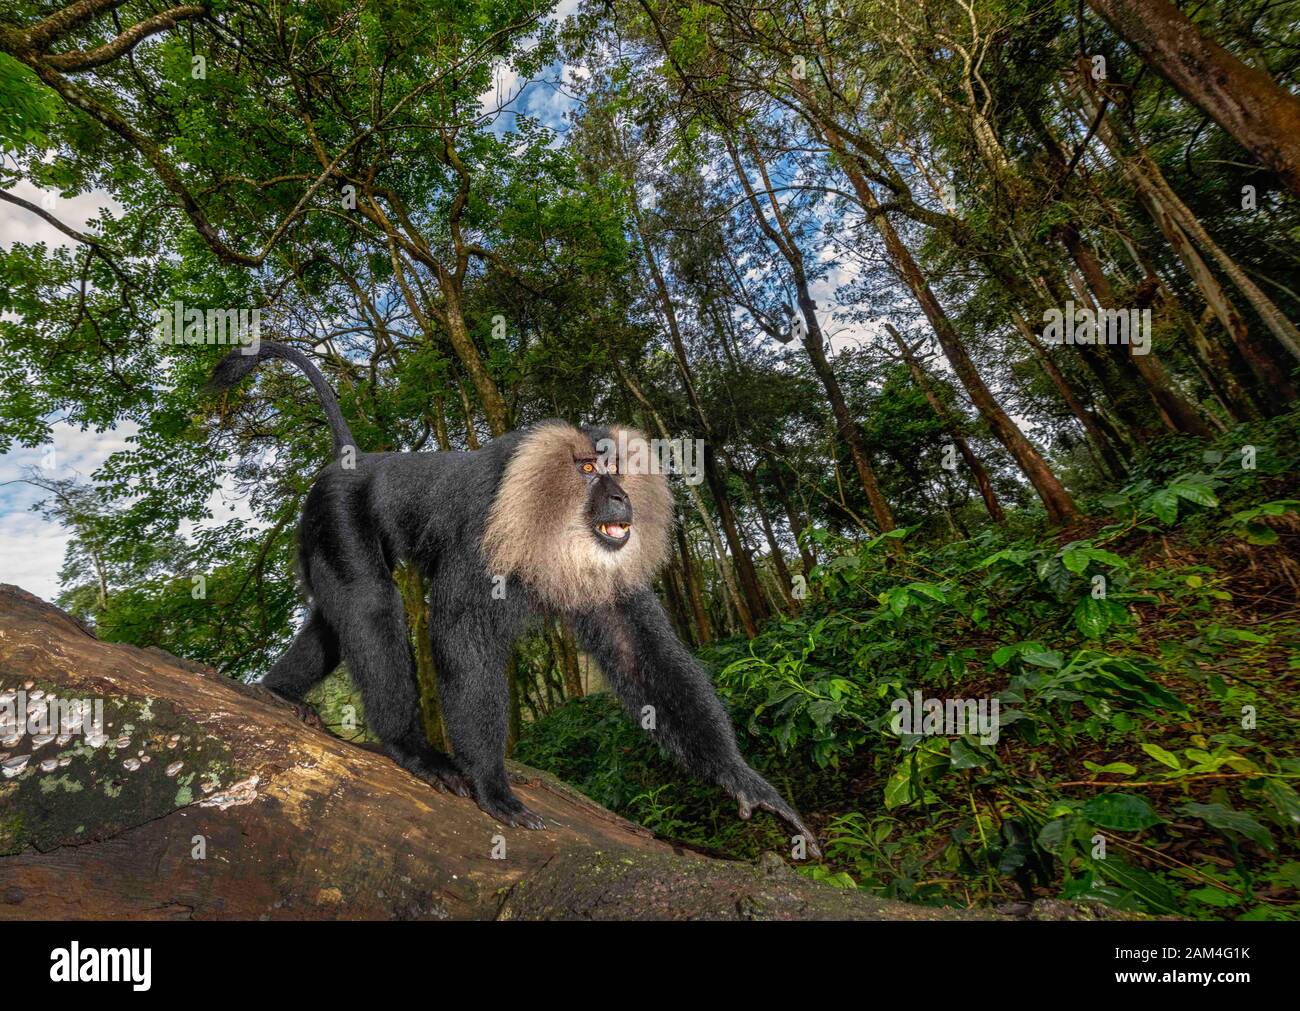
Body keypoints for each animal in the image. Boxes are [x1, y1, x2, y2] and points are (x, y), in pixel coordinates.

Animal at [209, 341, 818, 853]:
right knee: (369, 607)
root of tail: (352, 462)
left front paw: (744, 781)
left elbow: (637, 654)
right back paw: (409, 747)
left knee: (333, 625)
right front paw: (491, 784)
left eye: (616, 469)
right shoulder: (484, 534)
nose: (620, 497)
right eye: (588, 469)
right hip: (333, 517)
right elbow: (459, 636)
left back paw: (278, 693)